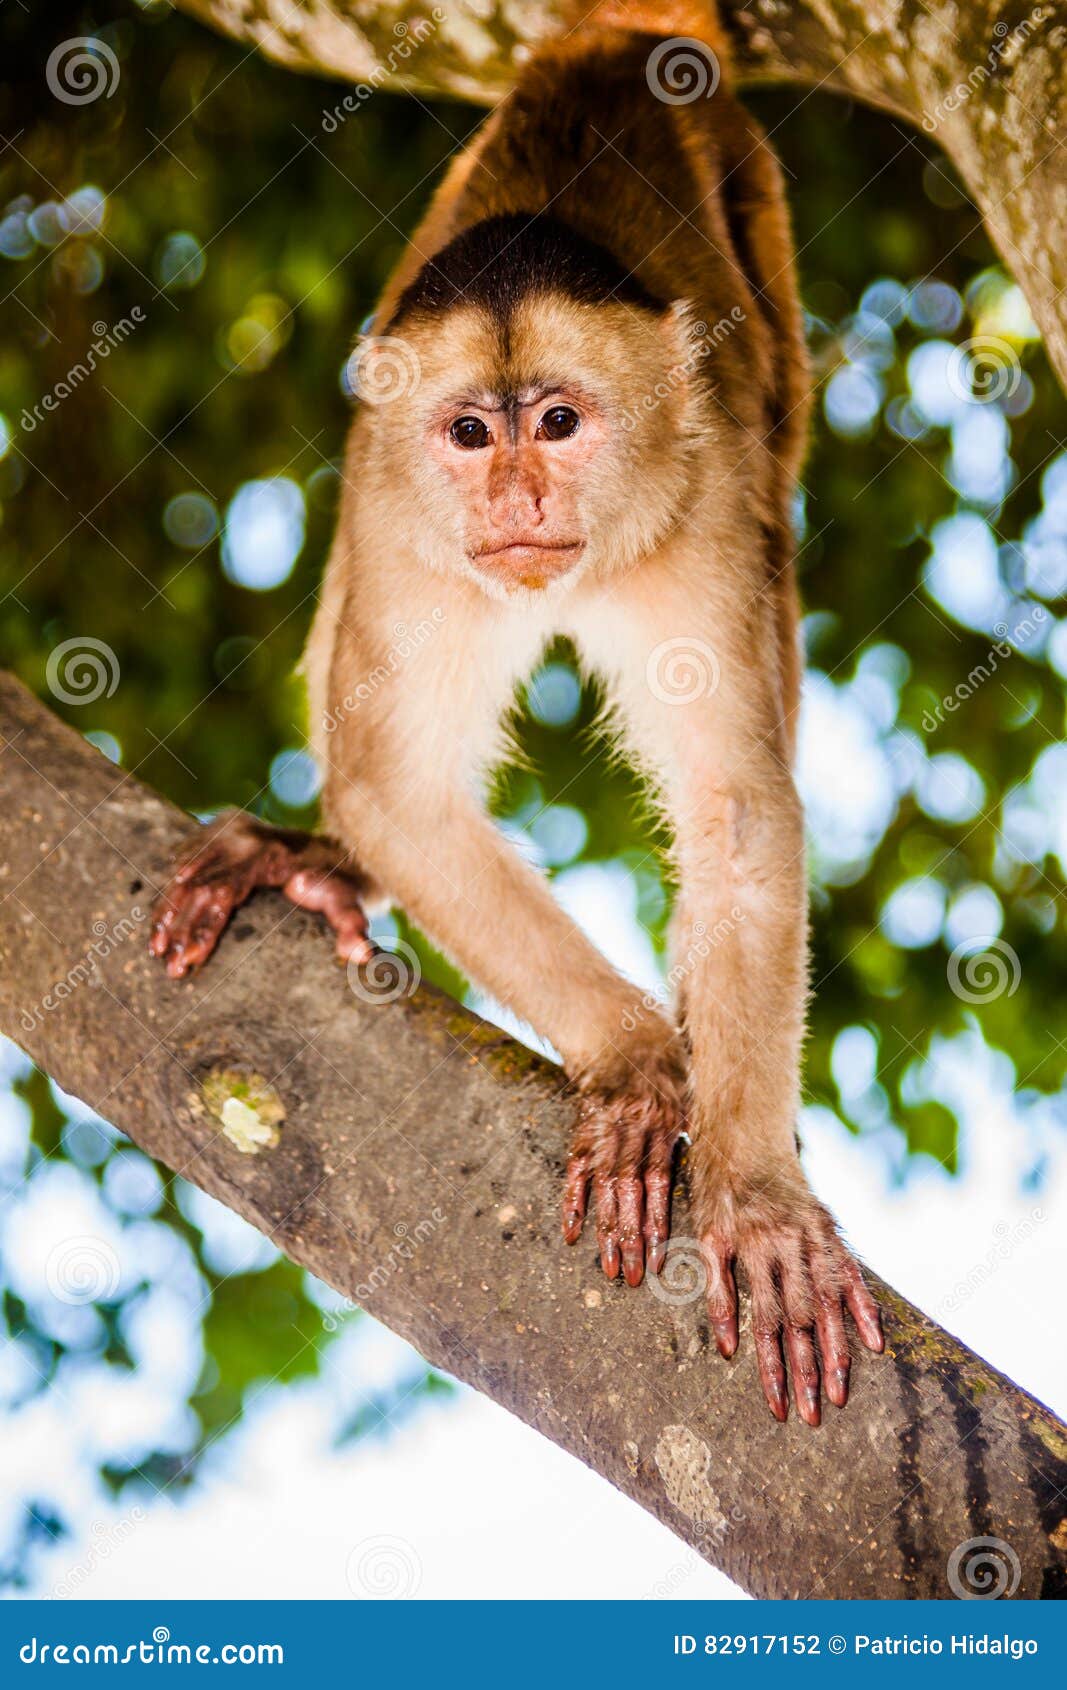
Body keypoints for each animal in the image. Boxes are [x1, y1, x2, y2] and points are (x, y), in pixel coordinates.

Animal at [150, 0, 884, 1426]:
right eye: (471, 436)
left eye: (555, 421)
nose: (516, 501)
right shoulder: (404, 512)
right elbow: (395, 791)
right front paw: (634, 1063)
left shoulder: (697, 501)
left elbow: (733, 814)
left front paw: (753, 1187)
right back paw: (312, 860)